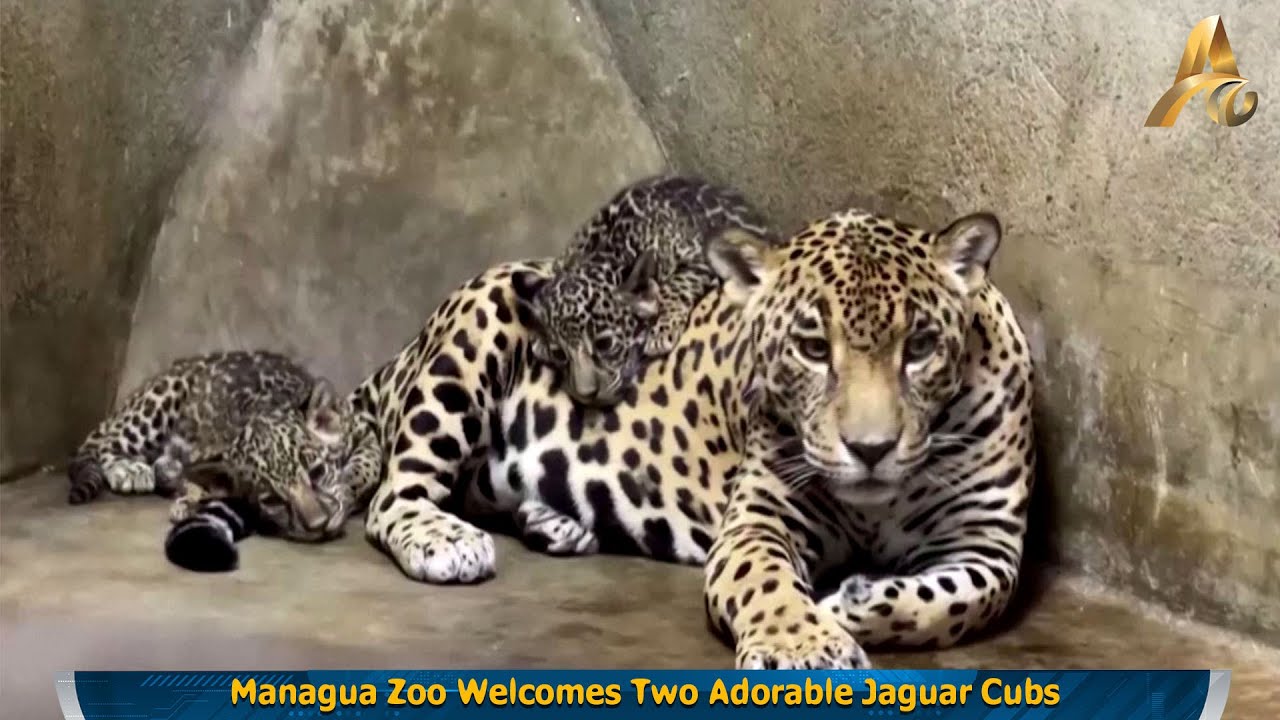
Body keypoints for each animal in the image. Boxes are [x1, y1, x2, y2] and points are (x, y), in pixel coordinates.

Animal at [299, 204, 1035, 670]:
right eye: (811, 348)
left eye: (921, 347)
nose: (872, 450)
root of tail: (402, 353)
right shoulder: (760, 520)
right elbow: (769, 584)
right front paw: (805, 646)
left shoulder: (988, 543)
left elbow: (965, 600)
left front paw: (857, 604)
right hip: (476, 327)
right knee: (396, 495)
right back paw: (445, 540)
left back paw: (554, 522)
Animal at [525, 174, 777, 406]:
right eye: (559, 354)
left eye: (604, 344)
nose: (586, 395)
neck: (606, 248)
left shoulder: (700, 256)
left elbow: (678, 285)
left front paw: (660, 330)